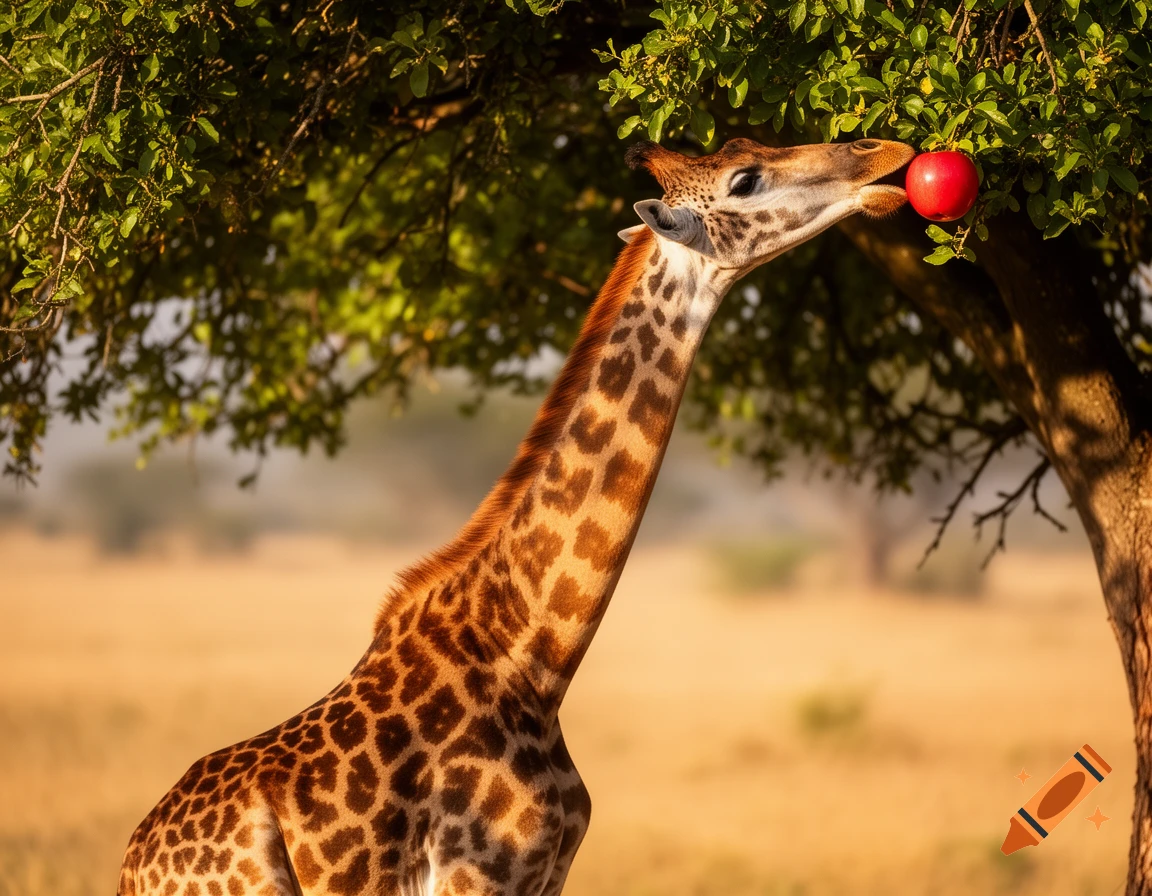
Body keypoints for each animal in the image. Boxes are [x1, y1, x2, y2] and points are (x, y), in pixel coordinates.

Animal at [117, 136, 914, 896]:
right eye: (745, 180)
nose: (885, 156)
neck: (528, 660)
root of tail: (132, 868)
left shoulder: (549, 874)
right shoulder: (479, 874)